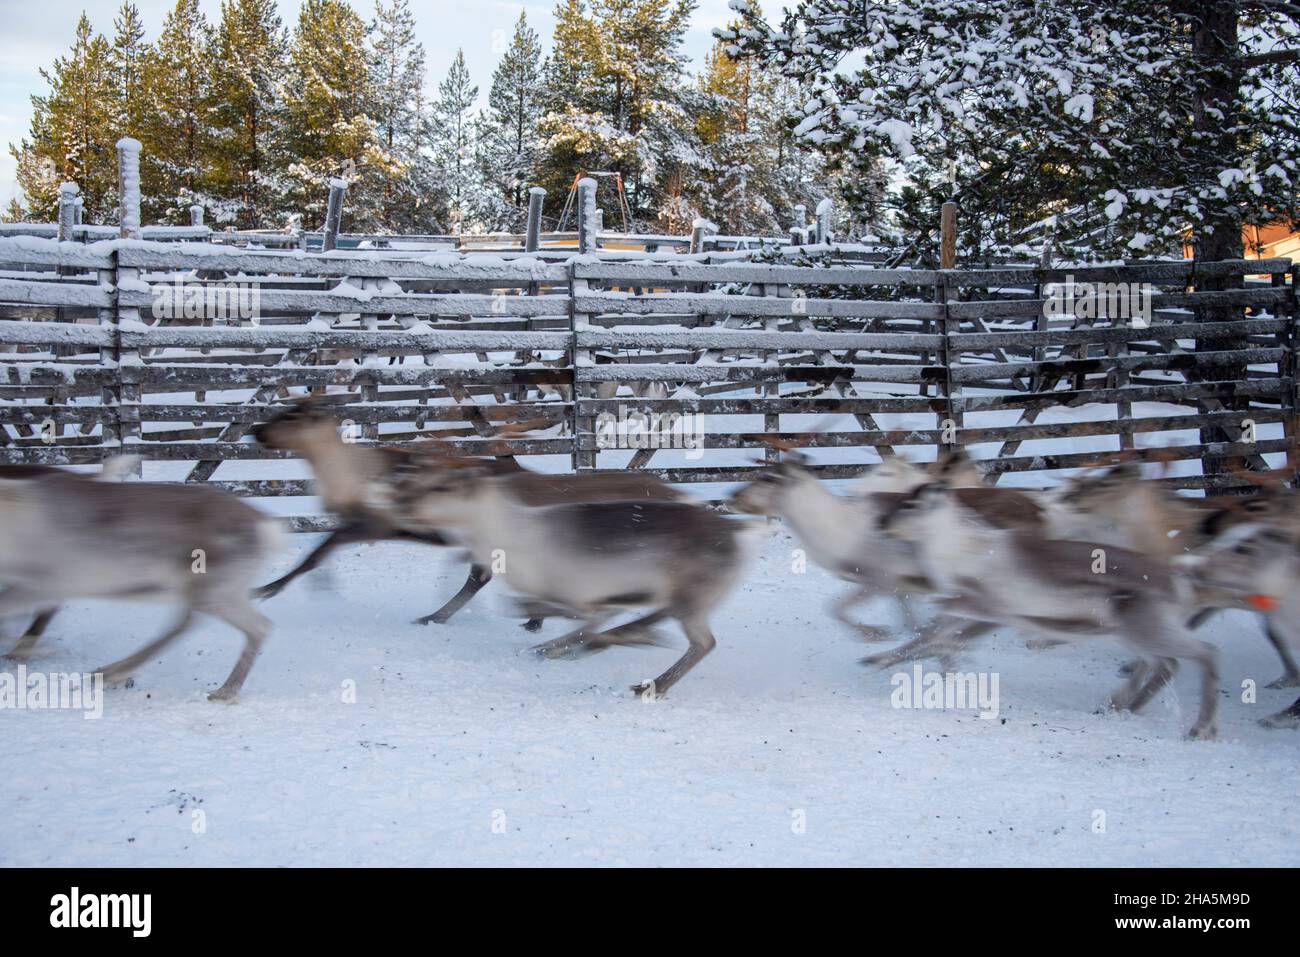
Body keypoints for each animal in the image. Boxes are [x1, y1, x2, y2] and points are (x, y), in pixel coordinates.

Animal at [0, 470, 283, 700]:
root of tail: (266, 526)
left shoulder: (45, 583)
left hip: (214, 590)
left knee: (255, 625)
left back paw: (224, 692)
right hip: (199, 590)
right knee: (191, 622)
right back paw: (110, 672)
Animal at [250, 399, 685, 630]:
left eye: (291, 416)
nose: (256, 431)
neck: (341, 476)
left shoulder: (372, 522)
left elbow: (315, 555)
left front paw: (267, 588)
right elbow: (320, 555)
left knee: (485, 576)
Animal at [399, 460, 763, 697]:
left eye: (442, 486)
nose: (406, 503)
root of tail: (736, 531)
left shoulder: (586, 596)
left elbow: (577, 624)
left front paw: (552, 647)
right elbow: (532, 609)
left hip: (694, 596)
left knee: (702, 642)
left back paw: (653, 682)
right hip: (688, 598)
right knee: (677, 624)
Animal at [863, 480, 1220, 739]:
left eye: (909, 506)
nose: (879, 522)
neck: (961, 554)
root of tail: (1181, 580)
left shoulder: (992, 607)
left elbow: (945, 626)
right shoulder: (976, 610)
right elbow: (930, 634)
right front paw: (879, 659)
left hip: (1146, 628)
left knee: (1202, 653)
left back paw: (1200, 728)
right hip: (1133, 633)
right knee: (1165, 664)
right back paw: (1119, 705)